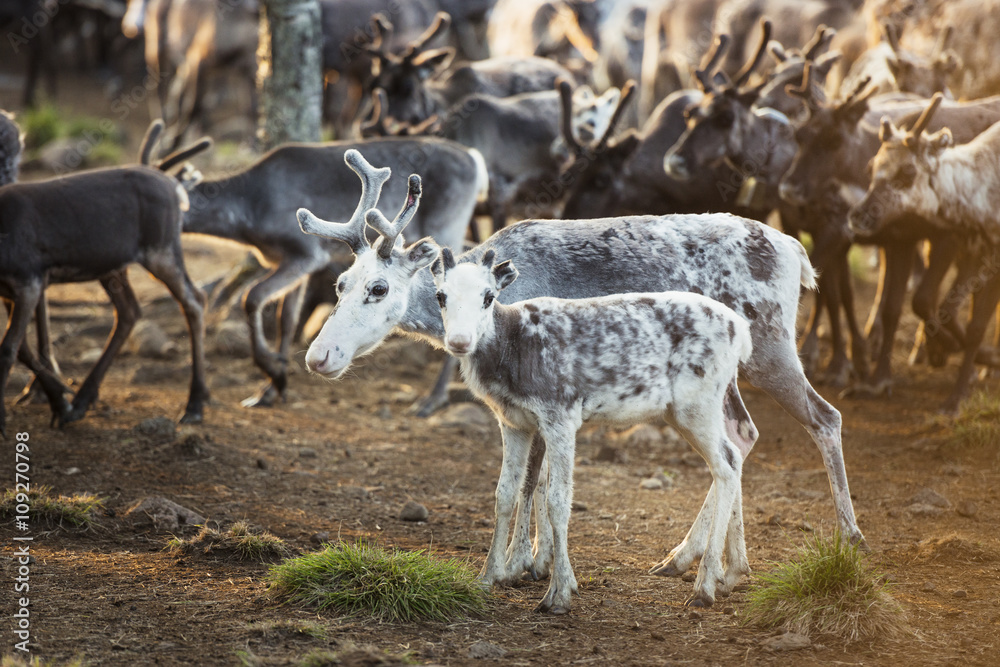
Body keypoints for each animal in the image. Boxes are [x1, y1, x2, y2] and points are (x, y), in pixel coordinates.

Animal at [430, 244, 758, 612]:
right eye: (440, 295)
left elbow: (559, 501)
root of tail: (742, 333)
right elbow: (504, 493)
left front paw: (559, 593)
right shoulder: (513, 421)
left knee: (726, 464)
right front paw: (486, 578)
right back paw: (732, 572)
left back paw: (705, 584)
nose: (459, 341)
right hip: (701, 403)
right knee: (739, 446)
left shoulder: (560, 415)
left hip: (697, 403)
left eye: (488, 297)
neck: (510, 354)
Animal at [849, 93, 1000, 412]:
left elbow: (976, 324)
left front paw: (956, 398)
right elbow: (945, 311)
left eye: (908, 171)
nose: (858, 216)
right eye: (871, 167)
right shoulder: (970, 250)